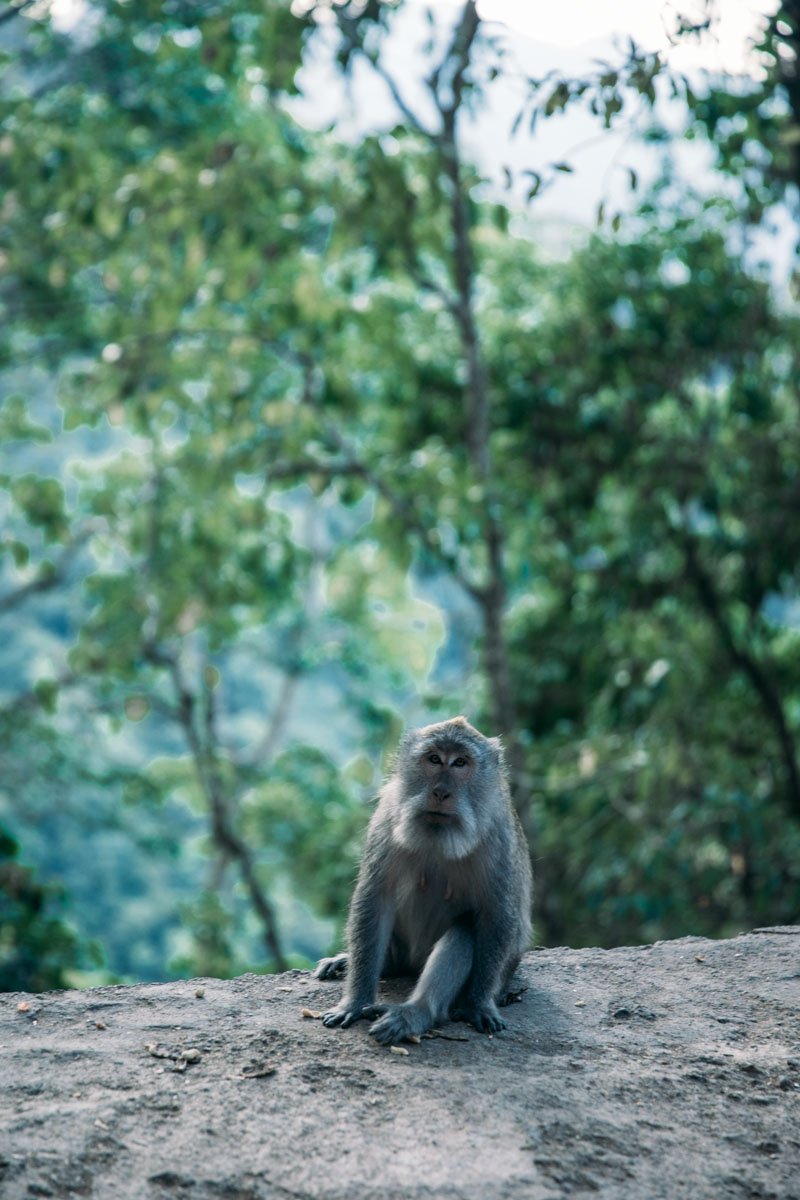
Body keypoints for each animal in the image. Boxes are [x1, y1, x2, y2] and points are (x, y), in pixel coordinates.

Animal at [314, 716, 532, 1045]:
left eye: (460, 763)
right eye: (434, 759)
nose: (441, 792)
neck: (438, 835)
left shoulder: (499, 835)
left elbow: (498, 914)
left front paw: (478, 1004)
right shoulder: (386, 818)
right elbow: (374, 900)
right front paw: (355, 1002)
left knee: (466, 930)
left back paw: (416, 1013)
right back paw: (349, 963)